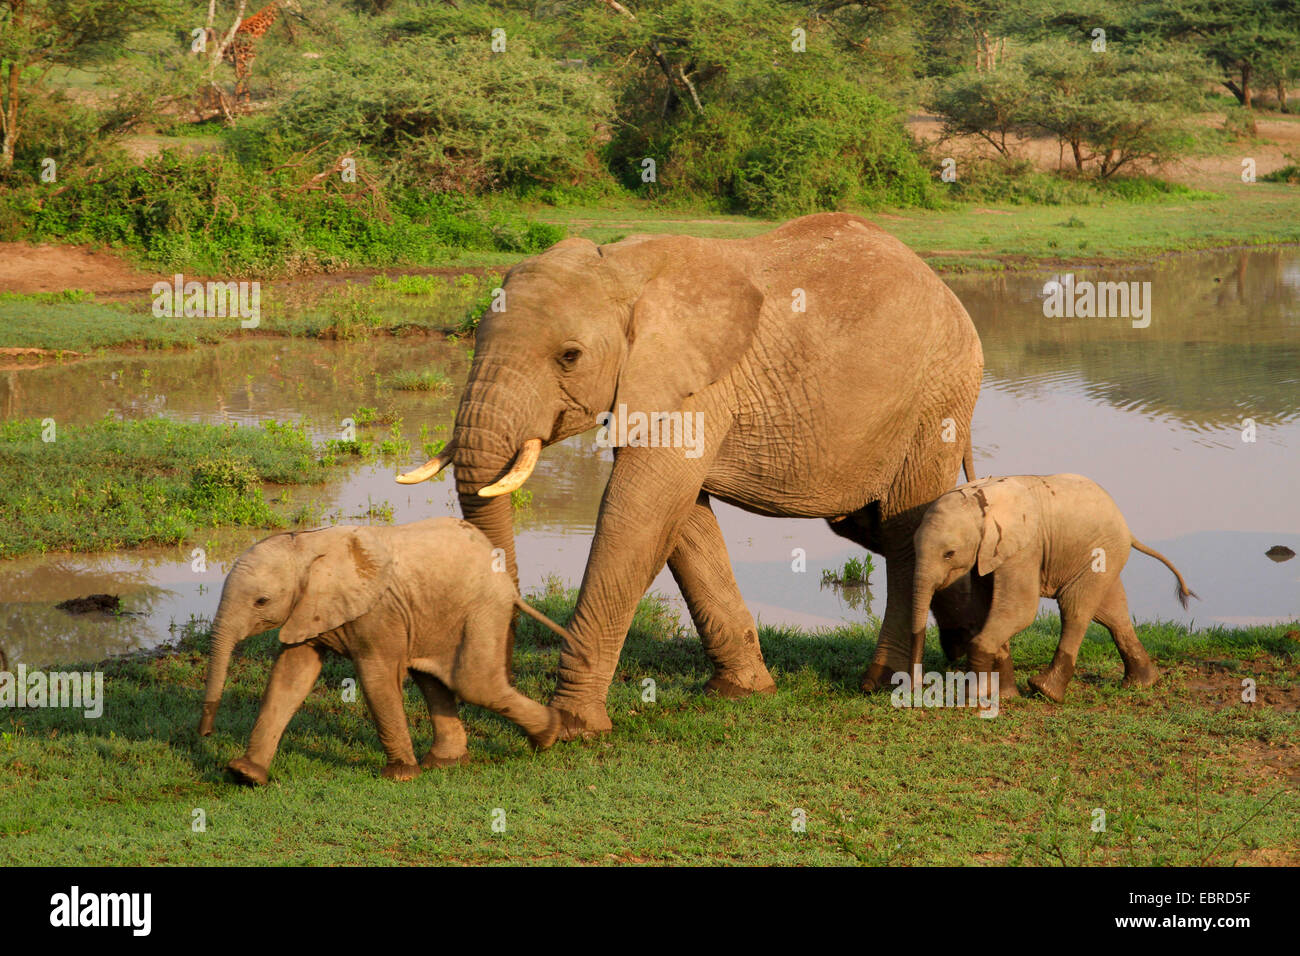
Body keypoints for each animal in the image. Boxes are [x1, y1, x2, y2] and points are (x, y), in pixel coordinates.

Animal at [197, 518, 565, 784]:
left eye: (261, 602)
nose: (205, 733)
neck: (306, 544)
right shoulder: (307, 609)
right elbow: (291, 676)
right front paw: (245, 774)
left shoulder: (378, 612)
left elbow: (376, 678)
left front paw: (400, 777)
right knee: (434, 680)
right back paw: (447, 762)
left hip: (483, 609)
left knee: (473, 683)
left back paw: (549, 735)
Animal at [396, 212, 984, 738]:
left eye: (569, 356)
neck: (621, 269)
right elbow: (680, 522)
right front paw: (742, 691)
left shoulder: (697, 385)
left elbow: (639, 515)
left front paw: (571, 728)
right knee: (874, 525)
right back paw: (964, 651)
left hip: (937, 397)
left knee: (905, 531)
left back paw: (886, 683)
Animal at [909, 474, 1197, 702]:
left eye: (949, 554)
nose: (919, 685)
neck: (980, 500)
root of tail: (1128, 529)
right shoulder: (988, 554)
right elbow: (988, 611)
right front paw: (1005, 696)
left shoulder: (1025, 549)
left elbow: (1019, 610)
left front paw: (974, 696)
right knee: (1111, 614)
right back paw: (1142, 683)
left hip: (1101, 552)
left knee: (1075, 610)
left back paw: (1044, 691)